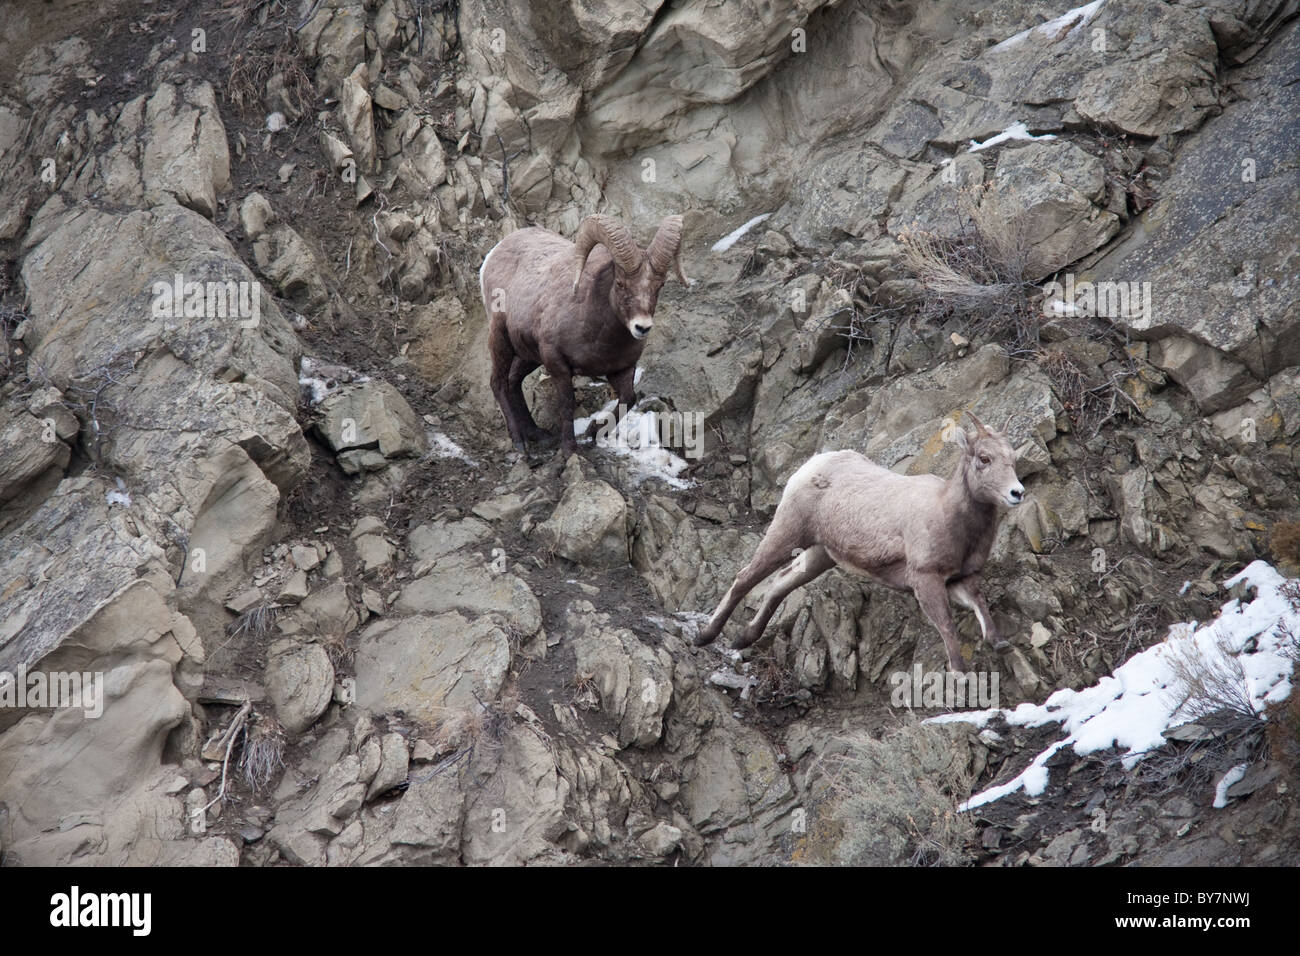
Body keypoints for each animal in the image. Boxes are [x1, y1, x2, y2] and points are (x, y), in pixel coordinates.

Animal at [479, 214, 689, 457]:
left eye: (659, 286)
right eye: (620, 283)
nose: (642, 327)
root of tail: (494, 254)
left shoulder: (621, 370)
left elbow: (628, 398)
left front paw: (593, 431)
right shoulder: (557, 363)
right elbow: (567, 403)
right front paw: (570, 450)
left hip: (527, 355)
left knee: (514, 380)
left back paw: (538, 434)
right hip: (500, 339)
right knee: (498, 383)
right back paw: (520, 442)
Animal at [694, 411, 1025, 672]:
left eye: (1013, 460)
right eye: (984, 458)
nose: (1017, 493)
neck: (947, 512)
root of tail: (813, 465)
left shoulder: (961, 579)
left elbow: (981, 607)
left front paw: (1000, 644)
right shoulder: (926, 578)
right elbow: (946, 625)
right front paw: (958, 672)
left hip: (821, 554)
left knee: (782, 582)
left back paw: (743, 638)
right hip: (787, 533)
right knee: (745, 578)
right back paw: (704, 636)